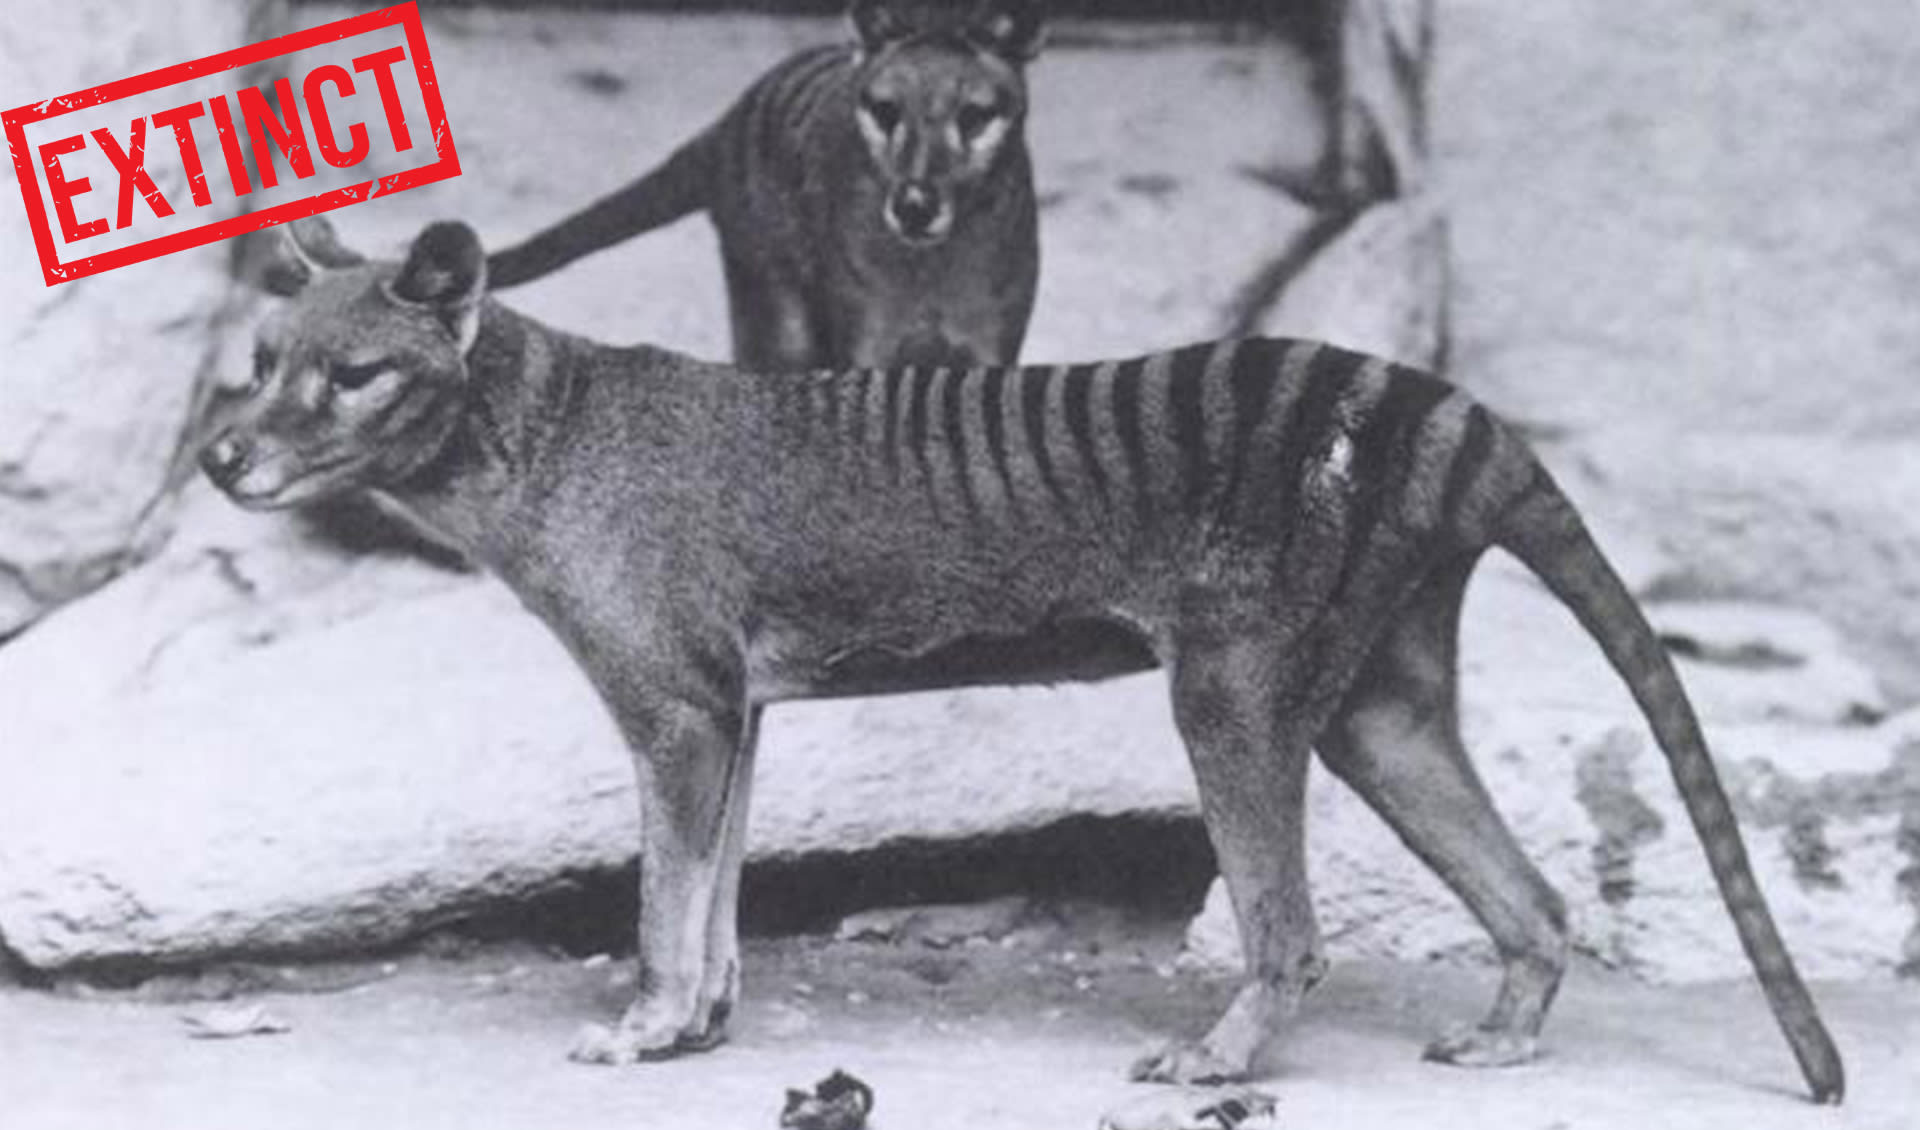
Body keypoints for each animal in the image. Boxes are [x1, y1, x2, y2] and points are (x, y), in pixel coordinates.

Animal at [198, 216, 1845, 1104]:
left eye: (352, 373)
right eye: (261, 363)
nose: (219, 457)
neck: (543, 432)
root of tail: (1455, 414)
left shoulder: (670, 706)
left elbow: (668, 894)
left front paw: (648, 1026)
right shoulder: (733, 710)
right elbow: (713, 886)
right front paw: (706, 1023)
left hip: (1233, 690)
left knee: (1291, 927)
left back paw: (1221, 1055)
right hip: (1379, 707)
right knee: (1533, 896)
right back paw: (1505, 1035)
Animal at [485, 0, 1044, 371]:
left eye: (974, 116)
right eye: (886, 111)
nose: (914, 204)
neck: (931, 272)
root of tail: (728, 124)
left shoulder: (991, 343)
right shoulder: (865, 341)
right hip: (778, 321)